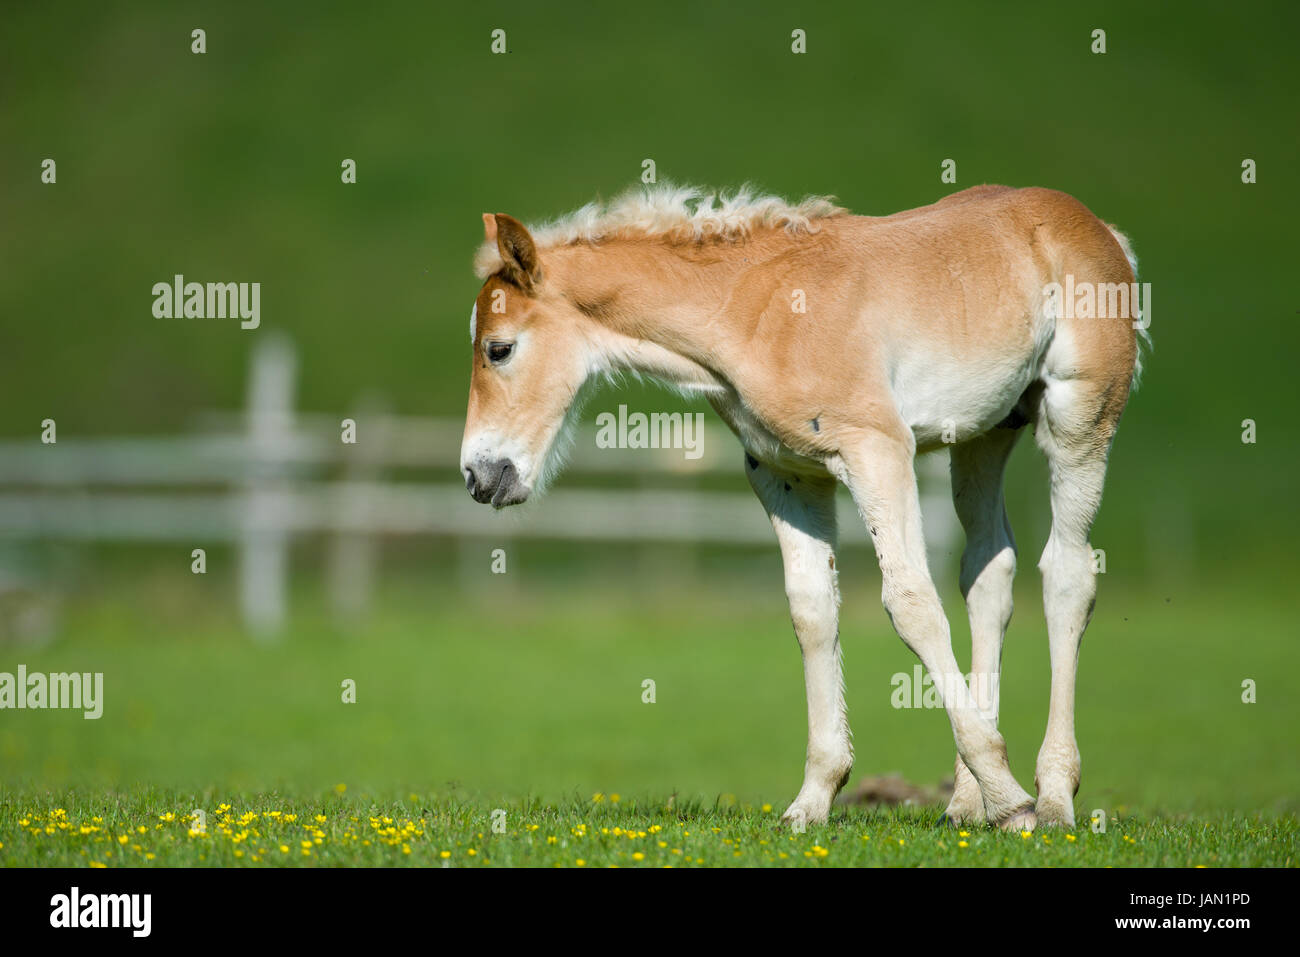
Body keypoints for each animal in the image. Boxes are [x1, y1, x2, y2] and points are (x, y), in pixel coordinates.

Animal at [459, 183, 1144, 831]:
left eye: (498, 349)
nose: (479, 476)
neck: (753, 314)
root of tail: (1098, 227)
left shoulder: (878, 450)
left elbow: (912, 604)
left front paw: (1012, 800)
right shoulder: (786, 474)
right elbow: (812, 612)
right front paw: (813, 800)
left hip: (1080, 419)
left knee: (1068, 577)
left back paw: (1051, 797)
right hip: (982, 434)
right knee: (988, 574)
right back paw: (964, 803)